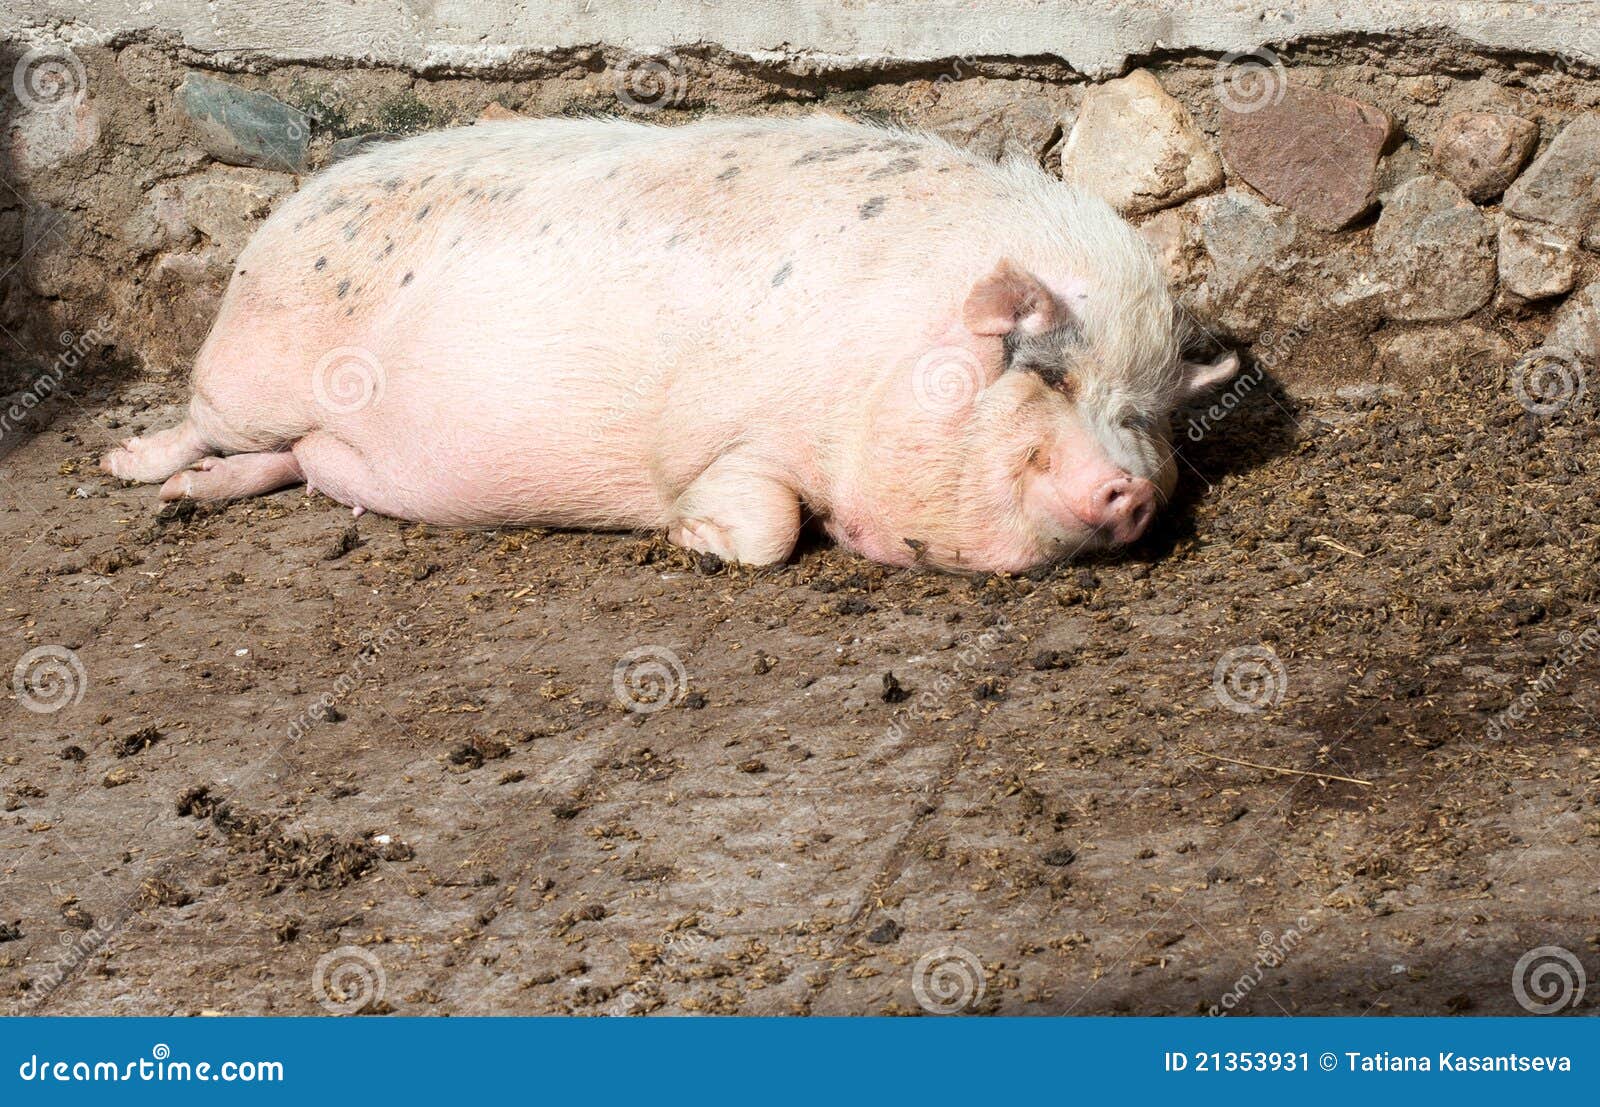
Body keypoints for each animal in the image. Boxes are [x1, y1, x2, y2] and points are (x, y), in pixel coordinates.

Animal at [101, 115, 1237, 573]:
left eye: (1144, 411)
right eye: (1049, 375)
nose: (1133, 489)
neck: (880, 357)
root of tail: (286, 213)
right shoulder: (726, 434)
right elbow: (768, 524)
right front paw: (690, 539)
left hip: (295, 430)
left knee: (284, 464)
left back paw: (185, 500)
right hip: (248, 371)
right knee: (201, 426)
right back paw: (130, 471)